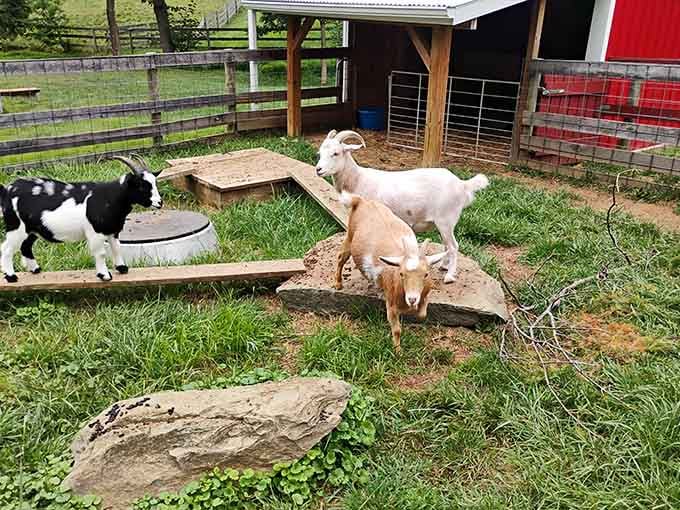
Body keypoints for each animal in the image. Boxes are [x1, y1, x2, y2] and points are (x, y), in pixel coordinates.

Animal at [0, 155, 162, 283]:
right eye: (141, 186)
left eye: (154, 183)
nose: (160, 203)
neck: (109, 197)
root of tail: (7, 190)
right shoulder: (95, 232)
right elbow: (101, 253)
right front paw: (104, 275)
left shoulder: (113, 230)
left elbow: (117, 248)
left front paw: (122, 268)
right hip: (16, 227)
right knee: (7, 249)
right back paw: (11, 277)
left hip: (32, 230)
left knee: (25, 246)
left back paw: (35, 269)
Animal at [316, 130, 489, 284]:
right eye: (319, 153)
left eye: (336, 153)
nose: (318, 169)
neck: (358, 179)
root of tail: (462, 184)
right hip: (444, 223)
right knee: (448, 245)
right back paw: (443, 266)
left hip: (445, 219)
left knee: (453, 246)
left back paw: (449, 276)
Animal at [336, 192, 446, 353]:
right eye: (401, 274)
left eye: (426, 274)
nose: (412, 299)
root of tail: (362, 201)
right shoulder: (391, 304)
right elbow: (397, 330)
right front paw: (397, 351)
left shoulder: (424, 294)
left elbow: (423, 314)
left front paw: (415, 310)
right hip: (350, 236)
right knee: (341, 258)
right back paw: (338, 284)